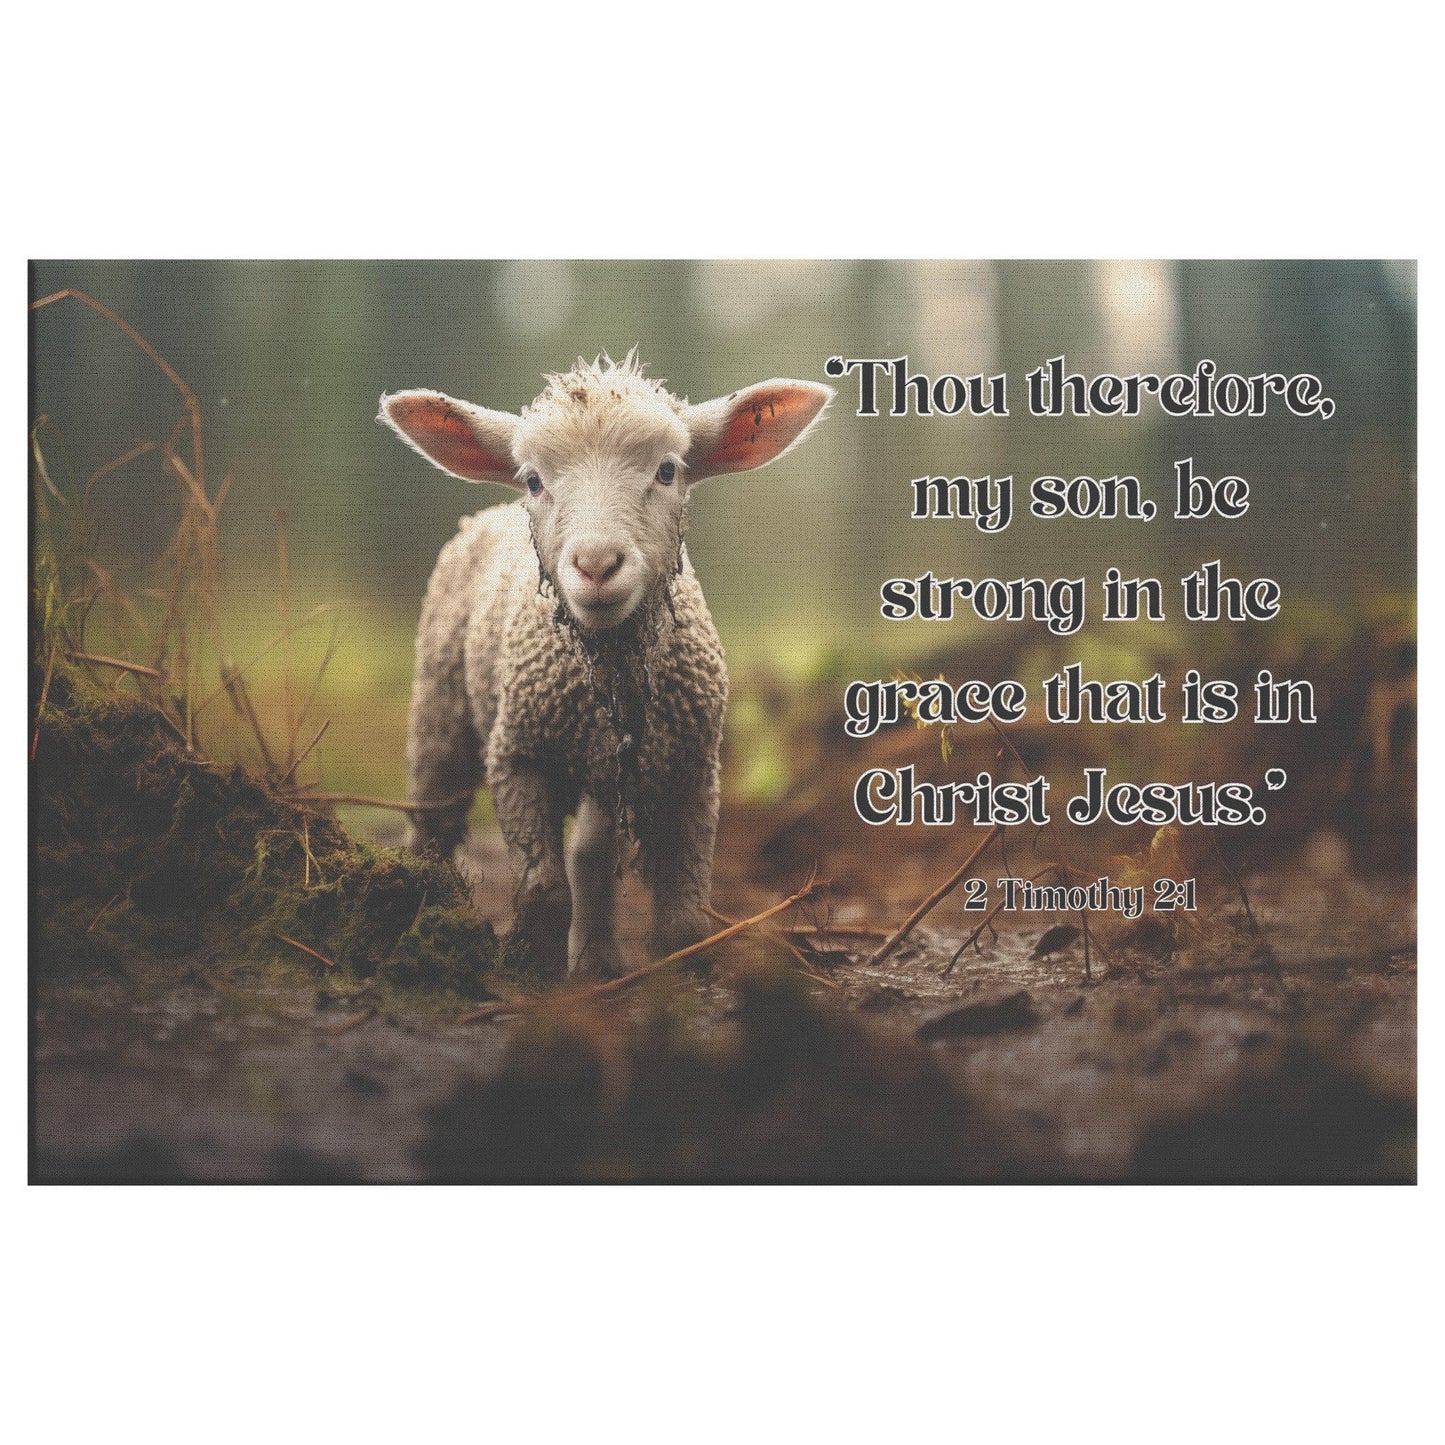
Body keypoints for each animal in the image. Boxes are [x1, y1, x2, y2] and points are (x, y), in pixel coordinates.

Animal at [379, 353, 833, 978]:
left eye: (667, 472)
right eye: (534, 480)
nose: (596, 565)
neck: (613, 665)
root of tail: (489, 513)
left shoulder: (691, 767)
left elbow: (683, 907)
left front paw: (678, 967)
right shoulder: (516, 754)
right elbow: (543, 888)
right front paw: (532, 967)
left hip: (608, 767)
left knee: (589, 853)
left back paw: (598, 960)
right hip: (440, 702)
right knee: (432, 819)